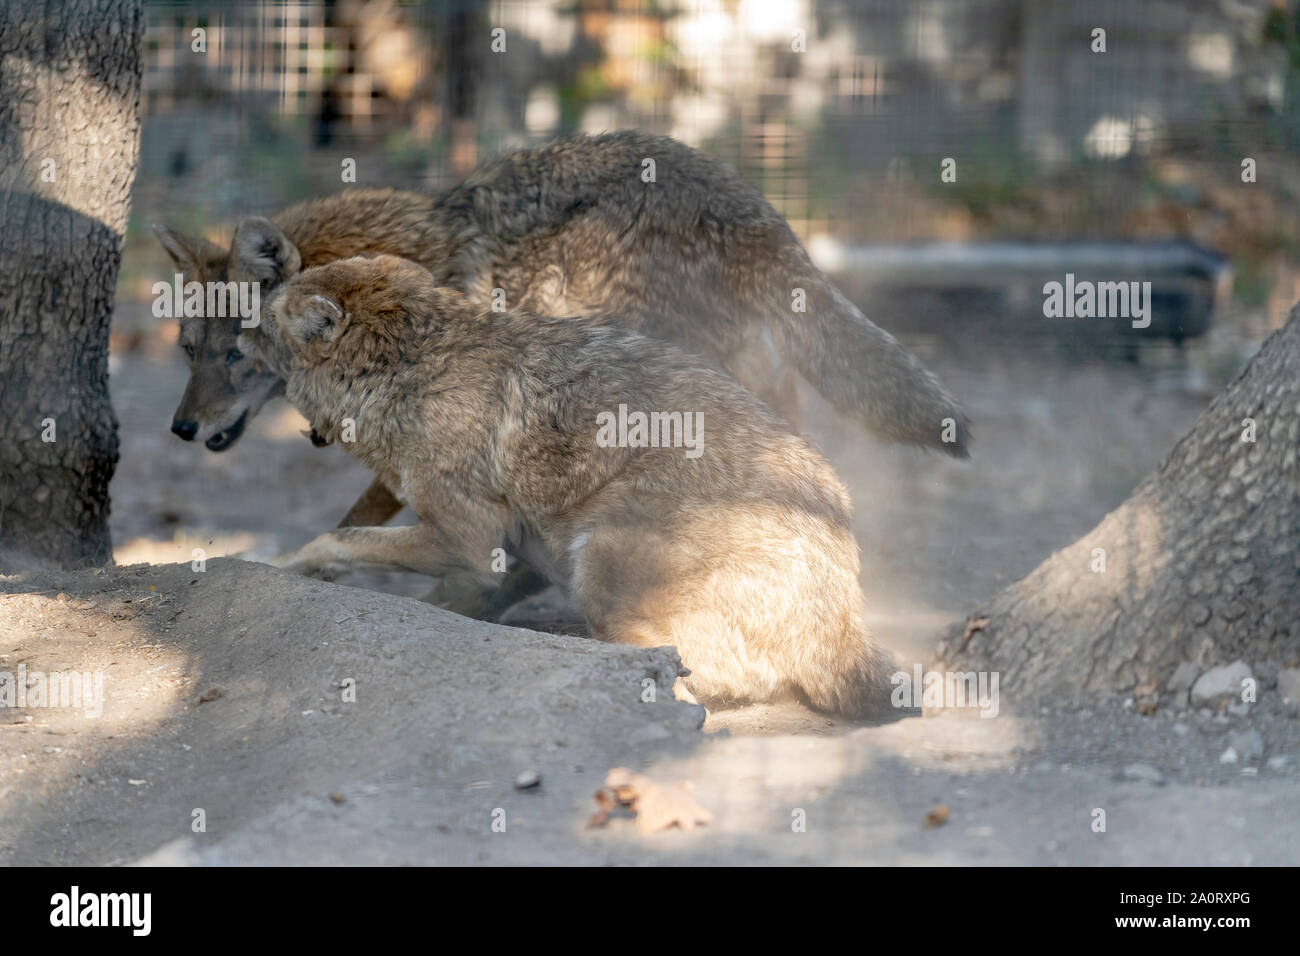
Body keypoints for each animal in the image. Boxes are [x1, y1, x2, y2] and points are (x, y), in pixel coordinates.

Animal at [242, 254, 896, 716]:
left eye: (266, 321)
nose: (238, 323)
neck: (415, 367)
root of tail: (841, 624)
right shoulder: (515, 554)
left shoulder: (469, 542)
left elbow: (335, 538)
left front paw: (273, 563)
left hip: (598, 560)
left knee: (674, 679)